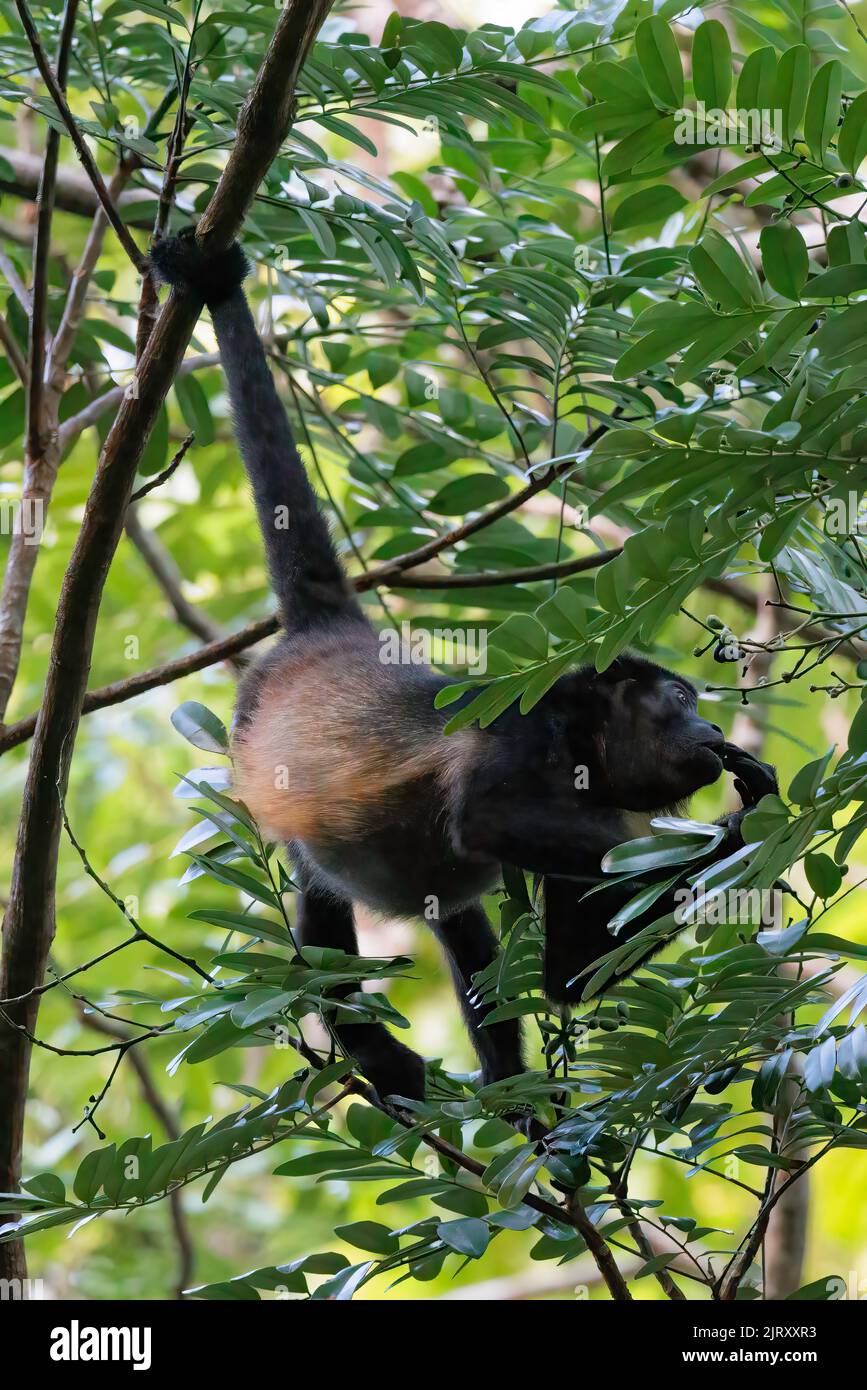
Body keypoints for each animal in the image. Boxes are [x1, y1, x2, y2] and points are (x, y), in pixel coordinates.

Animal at [150, 229, 778, 1108]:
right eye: (681, 697)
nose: (712, 722)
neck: (577, 737)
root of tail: (328, 636)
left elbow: (566, 979)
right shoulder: (520, 731)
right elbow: (487, 816)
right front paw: (742, 819)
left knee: (457, 920)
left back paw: (517, 1095)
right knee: (319, 899)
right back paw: (370, 1045)